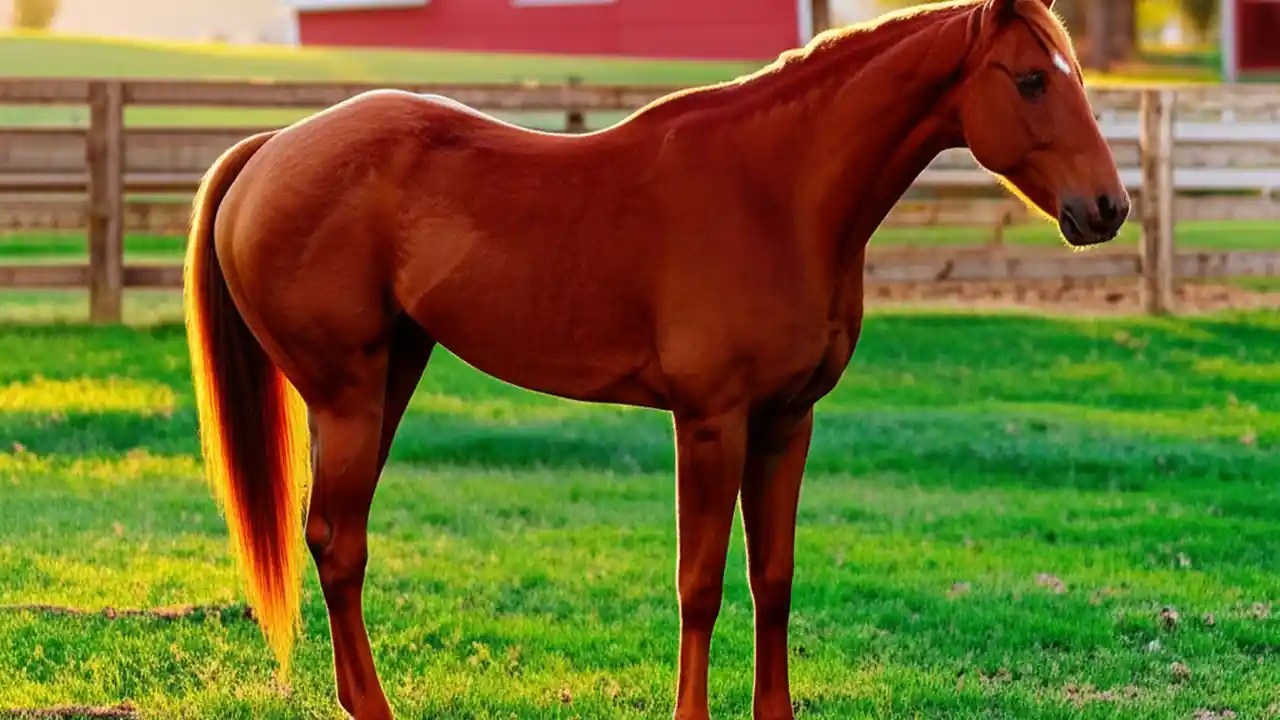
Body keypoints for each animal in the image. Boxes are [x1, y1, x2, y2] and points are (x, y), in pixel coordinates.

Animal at [183, 1, 1127, 717]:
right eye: (1031, 79)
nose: (1108, 208)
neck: (776, 193)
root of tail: (271, 147)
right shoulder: (709, 423)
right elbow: (699, 583)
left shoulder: (786, 423)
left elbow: (774, 578)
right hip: (347, 394)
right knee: (340, 545)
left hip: (389, 380)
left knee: (331, 538)